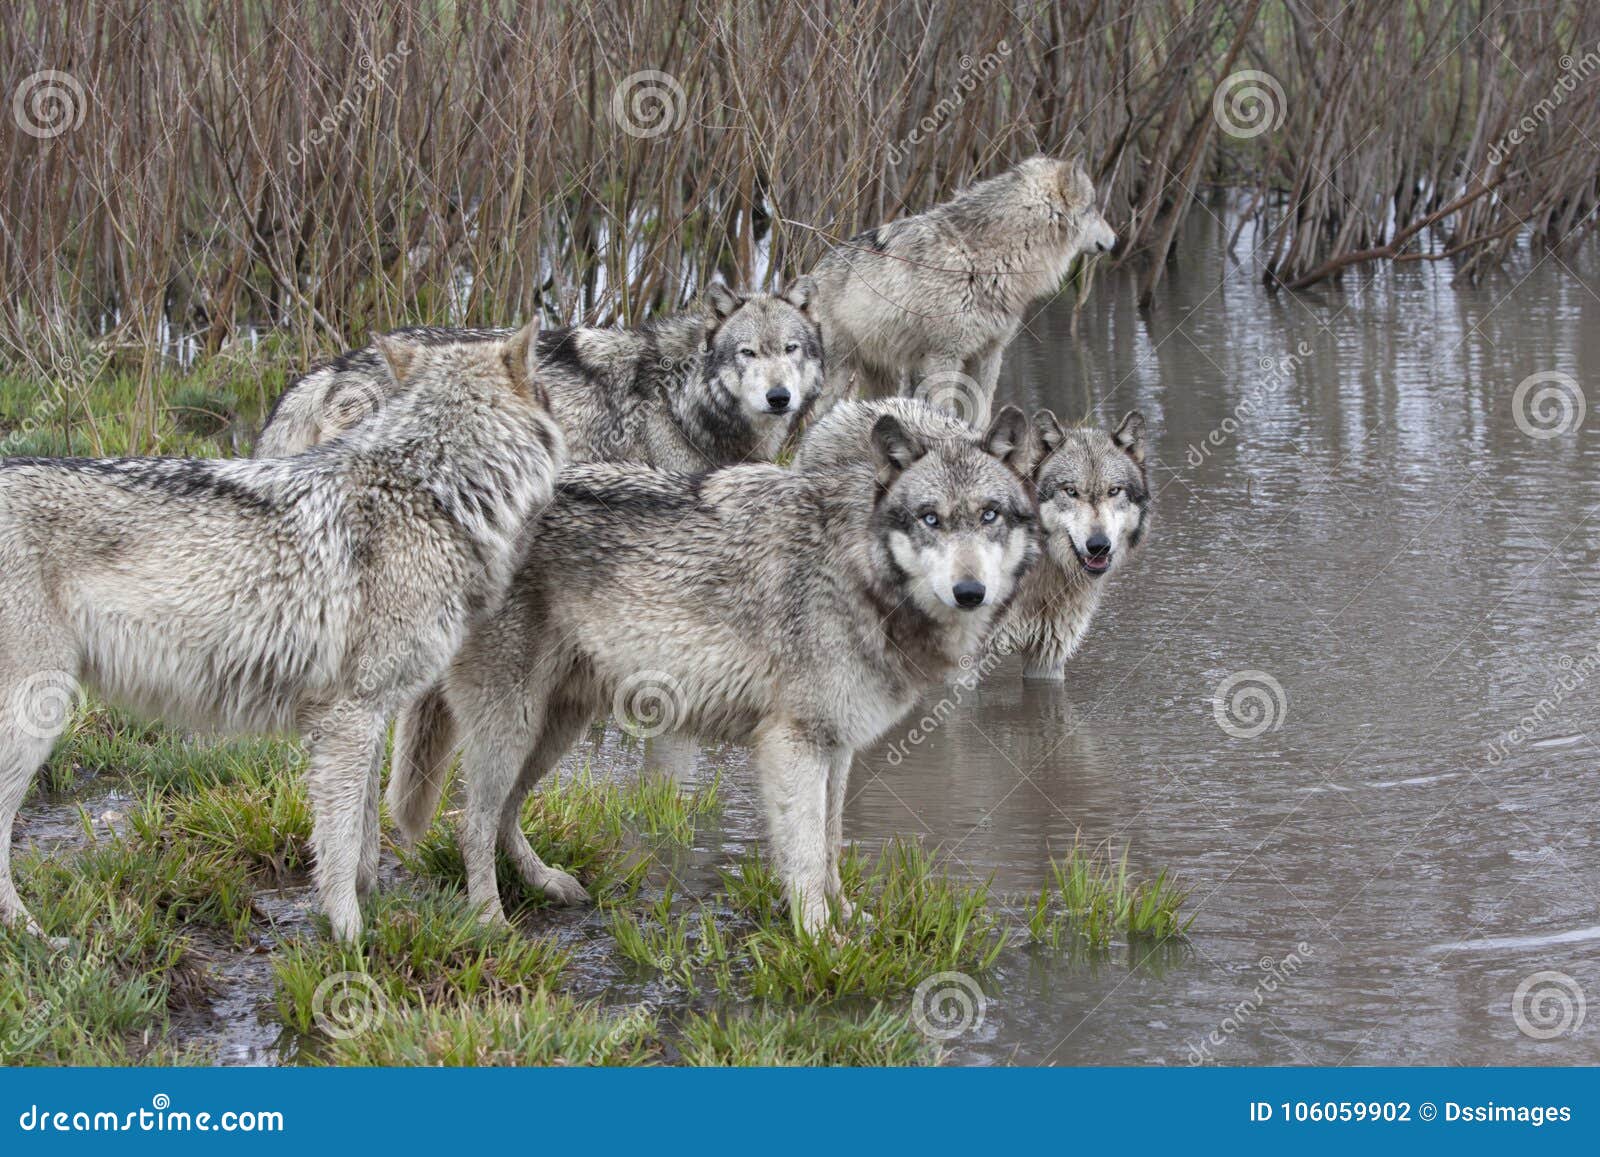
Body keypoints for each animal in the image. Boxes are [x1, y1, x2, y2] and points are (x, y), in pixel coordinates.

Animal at [0, 327, 564, 943]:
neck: (431, 491)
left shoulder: (366, 720)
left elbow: (363, 833)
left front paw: (372, 904)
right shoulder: (350, 717)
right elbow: (340, 842)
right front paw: (351, 937)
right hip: (36, 716)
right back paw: (31, 935)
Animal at [384, 407, 1038, 932]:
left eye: (990, 516)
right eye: (930, 518)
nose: (970, 591)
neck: (857, 567)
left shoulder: (838, 748)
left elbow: (830, 845)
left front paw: (848, 917)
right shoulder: (793, 744)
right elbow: (804, 857)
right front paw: (820, 939)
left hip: (555, 728)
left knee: (504, 813)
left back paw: (546, 883)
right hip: (512, 727)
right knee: (469, 820)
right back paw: (489, 922)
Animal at [795, 398, 1149, 681]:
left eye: (1114, 491)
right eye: (1070, 492)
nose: (1098, 545)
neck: (1042, 577)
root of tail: (843, 408)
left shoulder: (1047, 660)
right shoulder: (965, 664)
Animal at [805, 155, 1117, 423]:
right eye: (1093, 209)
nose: (1115, 239)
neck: (986, 260)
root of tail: (815, 268)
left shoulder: (989, 353)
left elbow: (981, 417)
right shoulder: (945, 357)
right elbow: (946, 416)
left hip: (886, 373)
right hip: (841, 372)